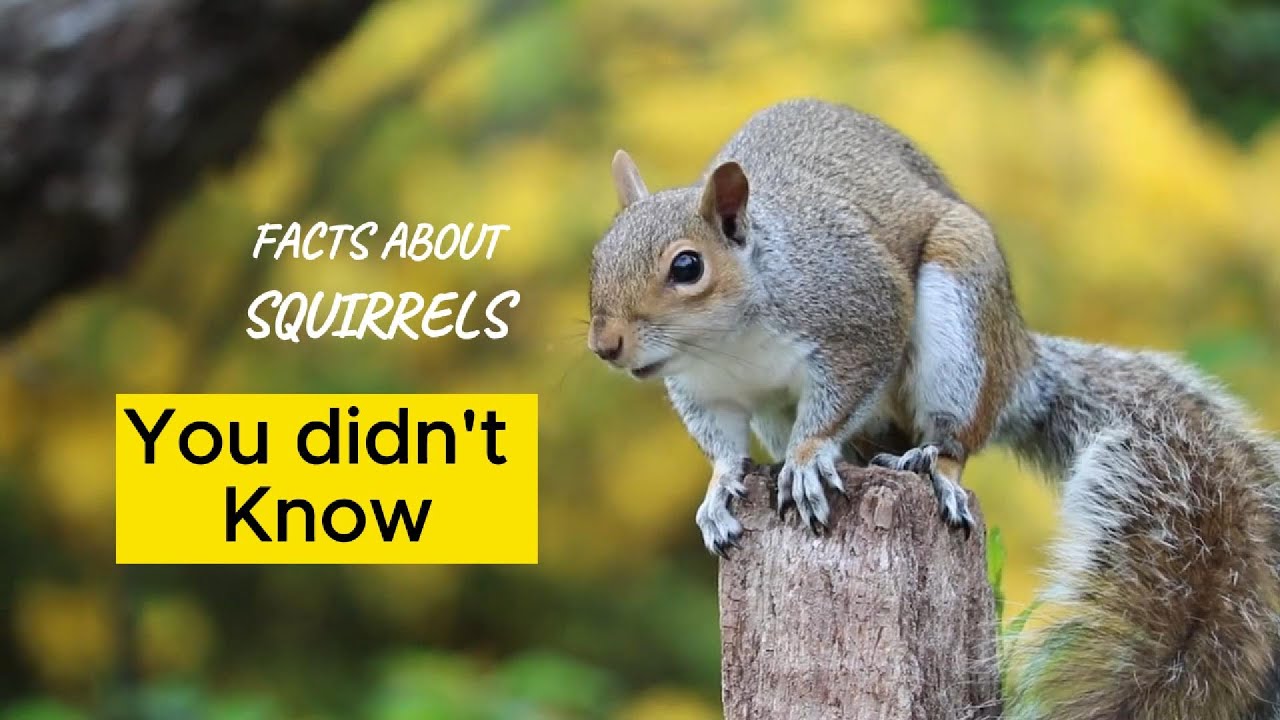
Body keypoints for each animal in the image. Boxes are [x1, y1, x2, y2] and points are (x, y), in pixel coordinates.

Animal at [587, 98, 1280, 719]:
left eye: (687, 266)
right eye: (597, 257)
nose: (605, 345)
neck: (727, 339)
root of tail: (1018, 361)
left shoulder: (859, 315)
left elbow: (839, 397)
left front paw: (808, 461)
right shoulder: (707, 391)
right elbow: (725, 449)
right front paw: (720, 489)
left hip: (961, 323)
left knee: (955, 438)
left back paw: (930, 465)